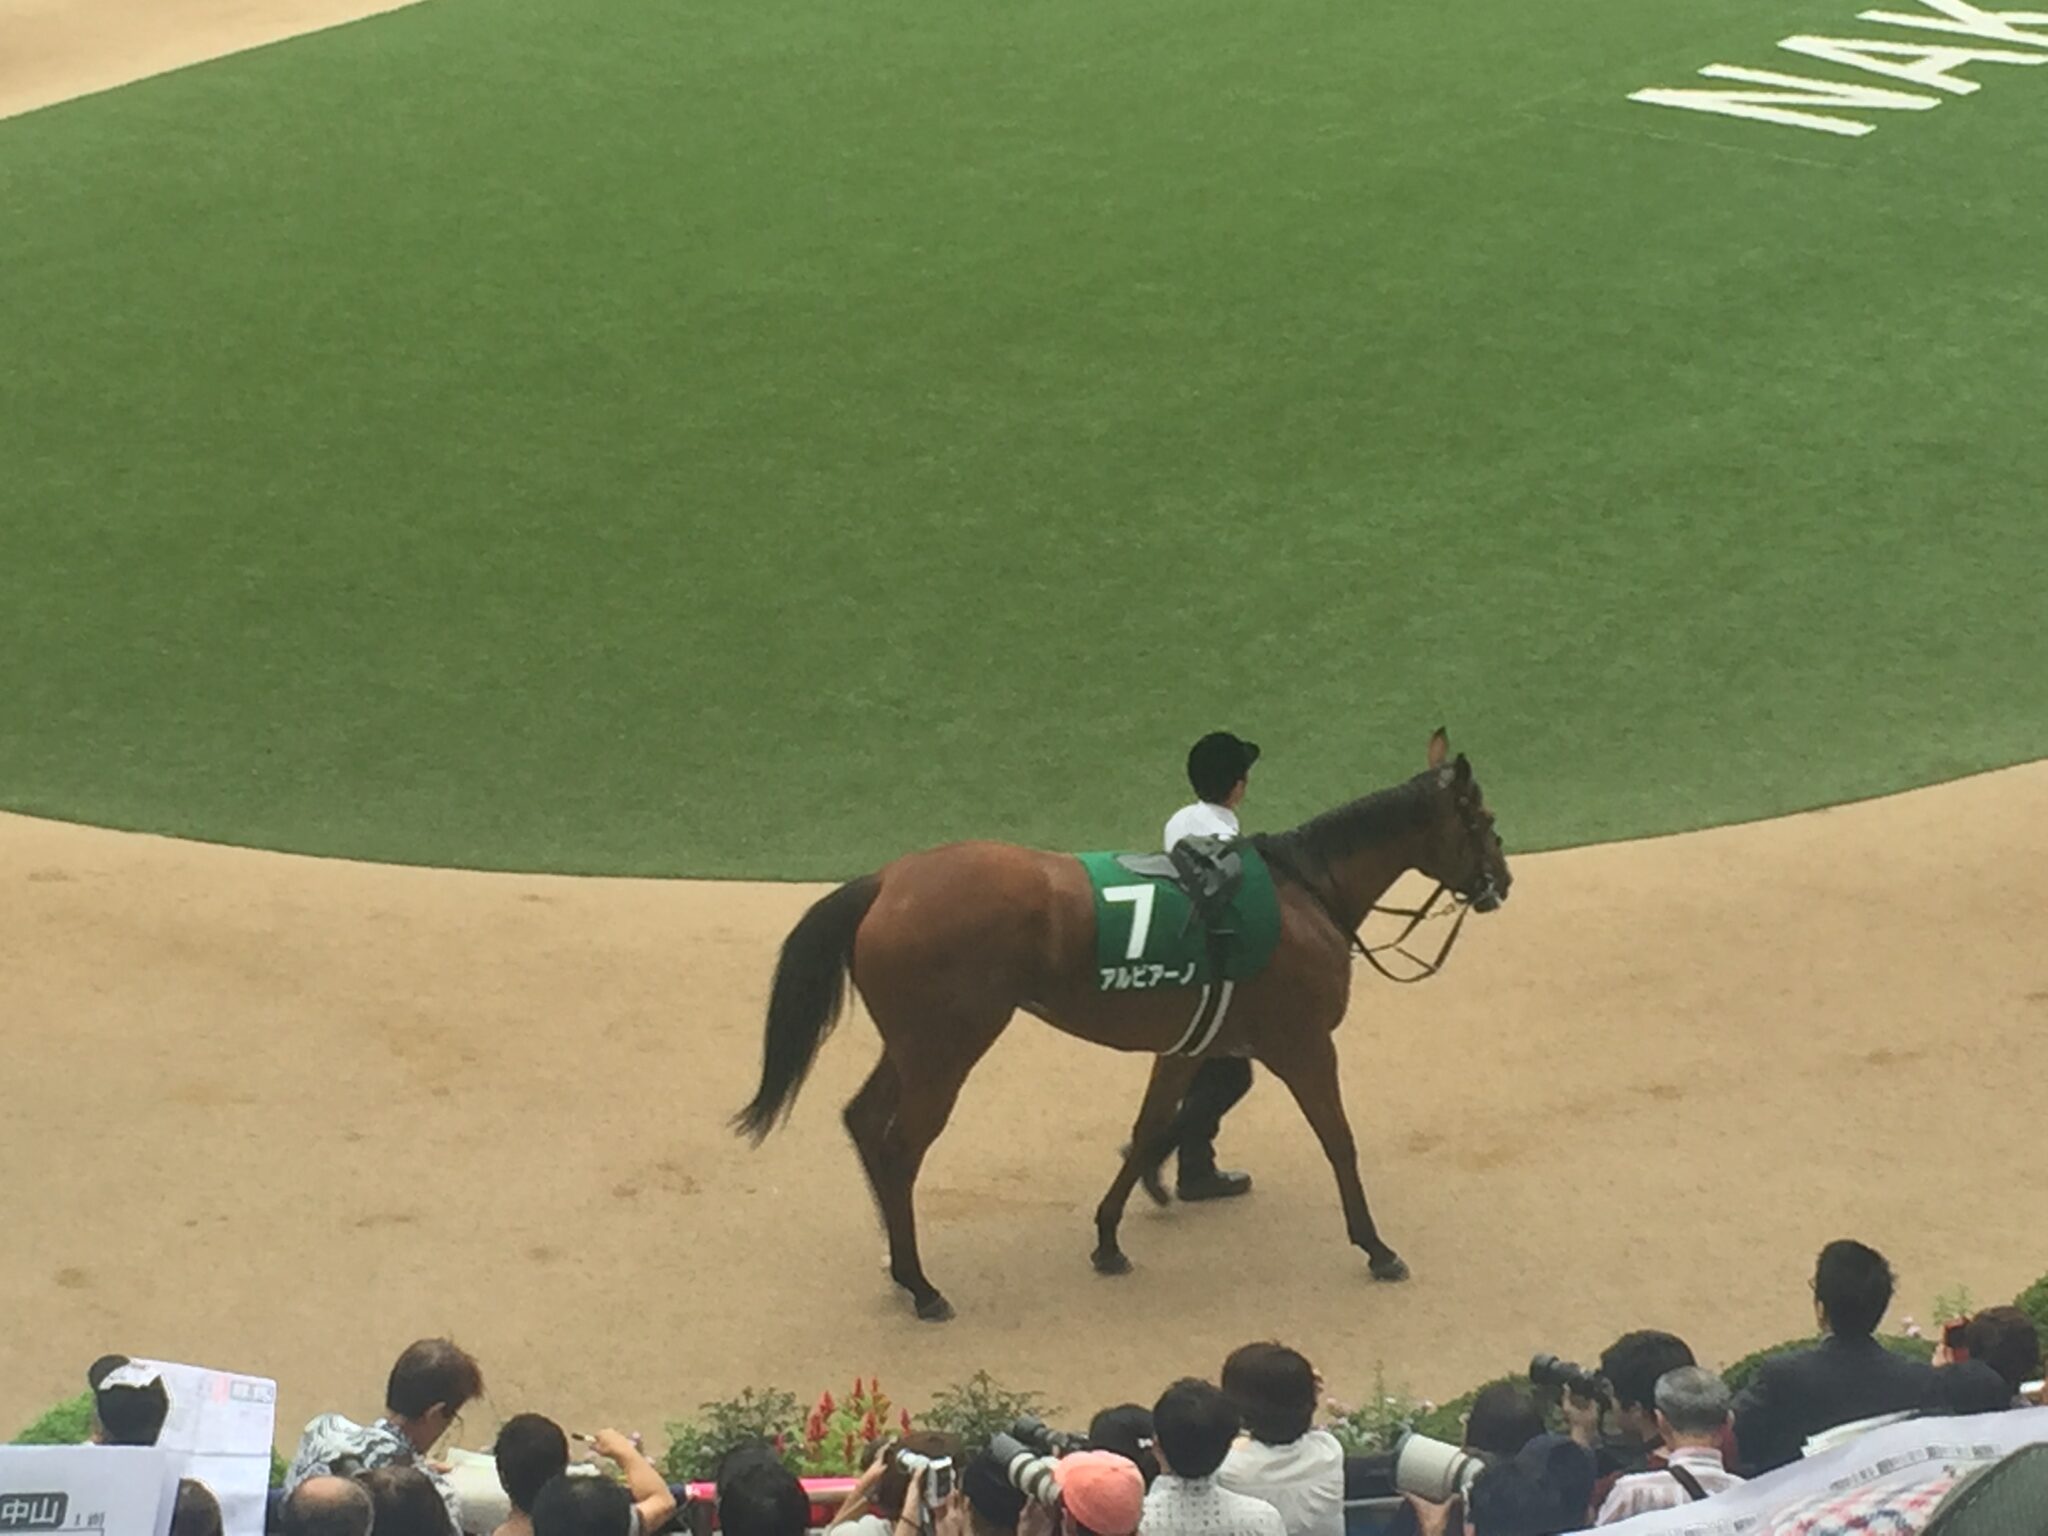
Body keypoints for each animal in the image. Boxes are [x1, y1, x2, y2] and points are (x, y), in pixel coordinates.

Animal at [734, 728, 1511, 1320]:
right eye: (1485, 822)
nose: (1501, 883)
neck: (1303, 891)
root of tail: (886, 881)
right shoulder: (1304, 1045)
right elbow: (1338, 1141)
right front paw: (1376, 1247)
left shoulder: (1191, 1042)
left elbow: (1151, 1125)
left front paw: (1118, 1229)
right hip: (947, 1048)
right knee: (900, 1147)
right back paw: (923, 1287)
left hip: (913, 1045)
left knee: (864, 1121)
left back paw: (902, 1270)